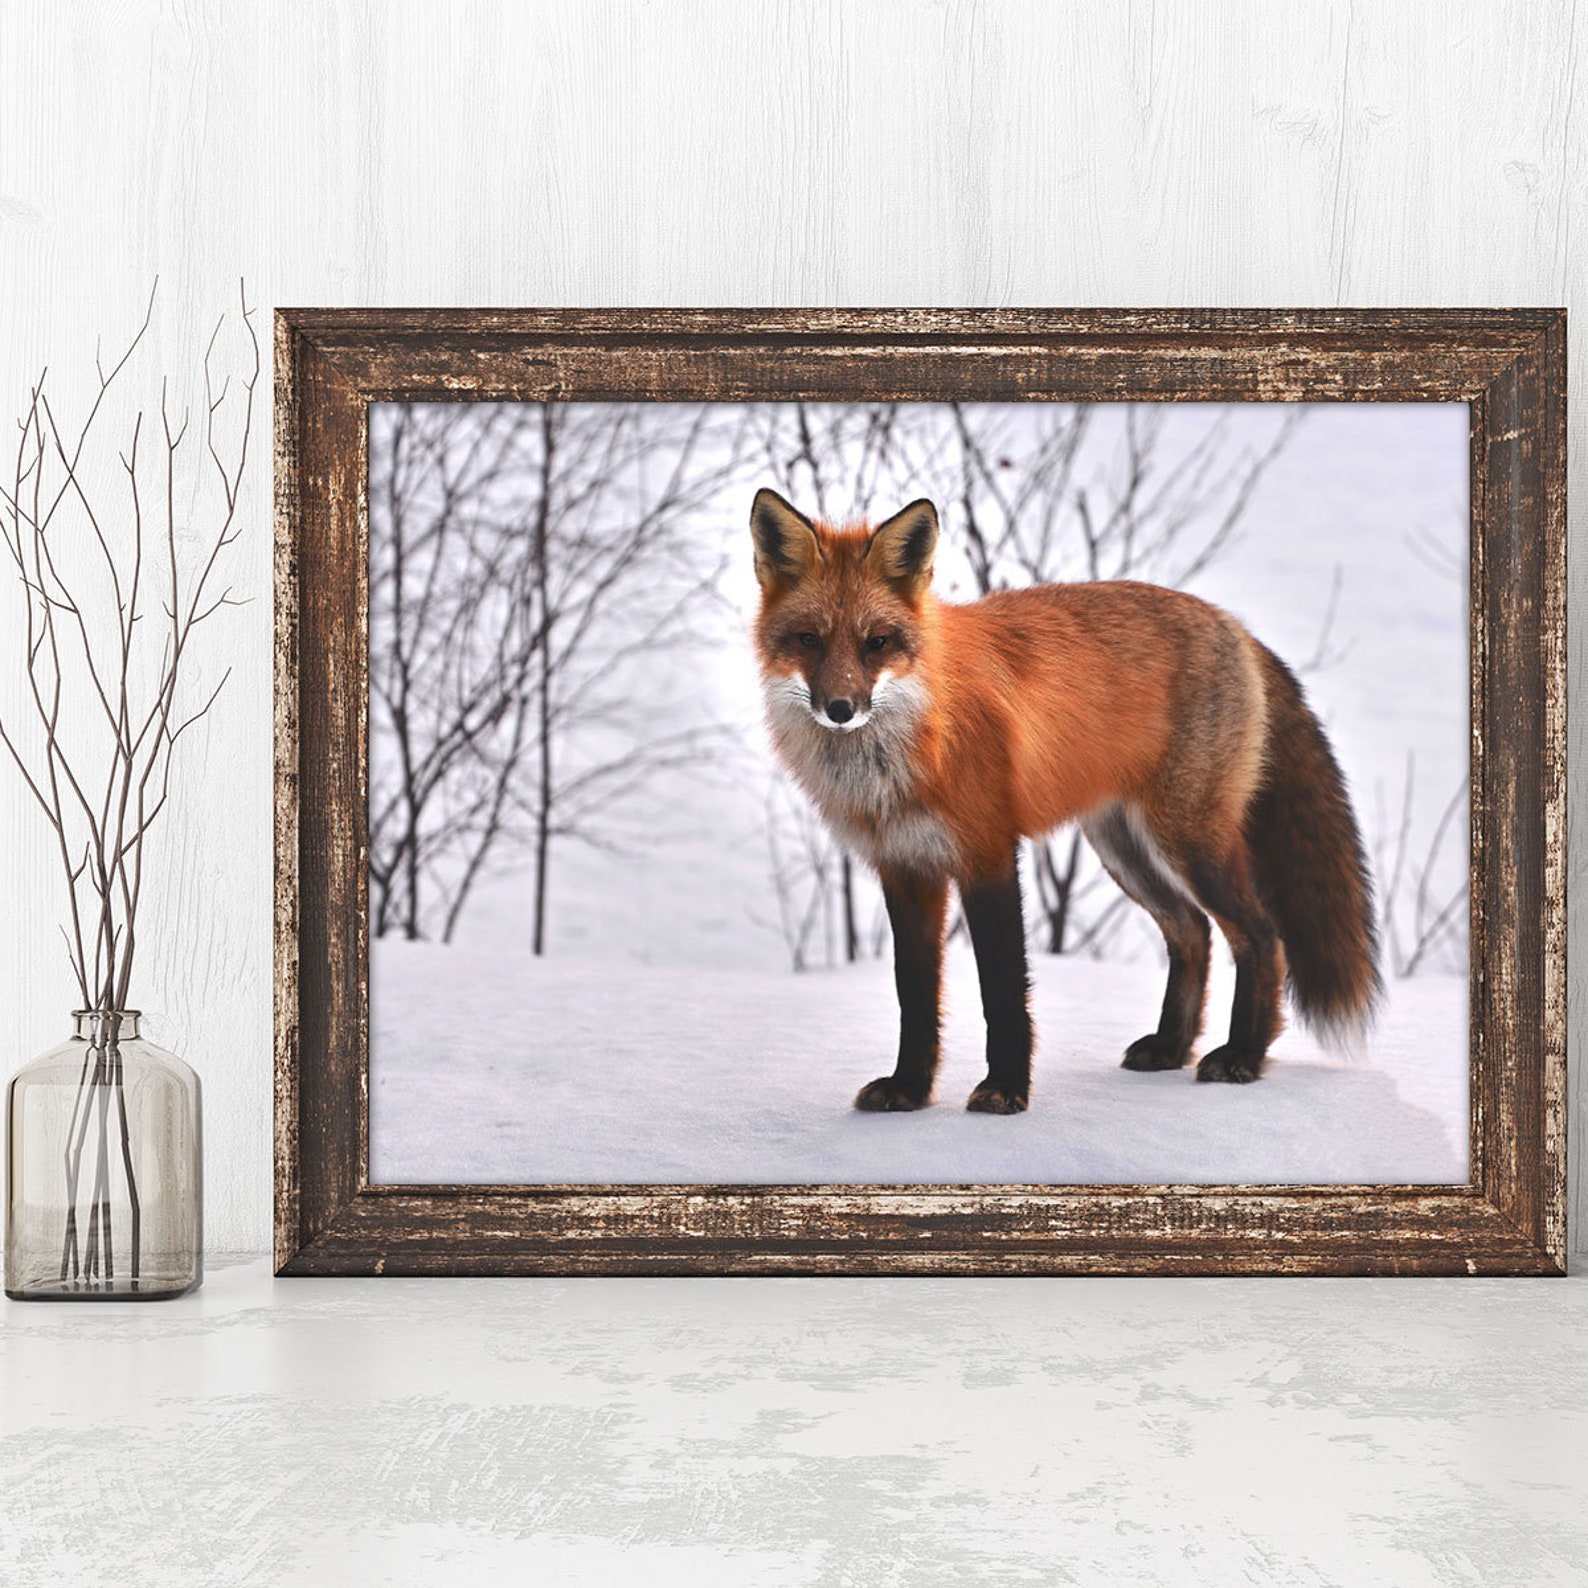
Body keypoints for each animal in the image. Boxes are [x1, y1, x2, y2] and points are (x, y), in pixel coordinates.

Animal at [749, 486, 1381, 1115]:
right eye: (809, 640)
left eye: (876, 643)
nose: (840, 709)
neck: (907, 748)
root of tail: (1232, 623)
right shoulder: (905, 868)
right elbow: (915, 996)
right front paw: (909, 1089)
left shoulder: (988, 854)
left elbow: (1003, 990)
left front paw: (1005, 1088)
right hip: (1124, 849)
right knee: (1193, 932)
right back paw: (1171, 1047)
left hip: (1188, 841)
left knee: (1261, 937)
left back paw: (1243, 1055)